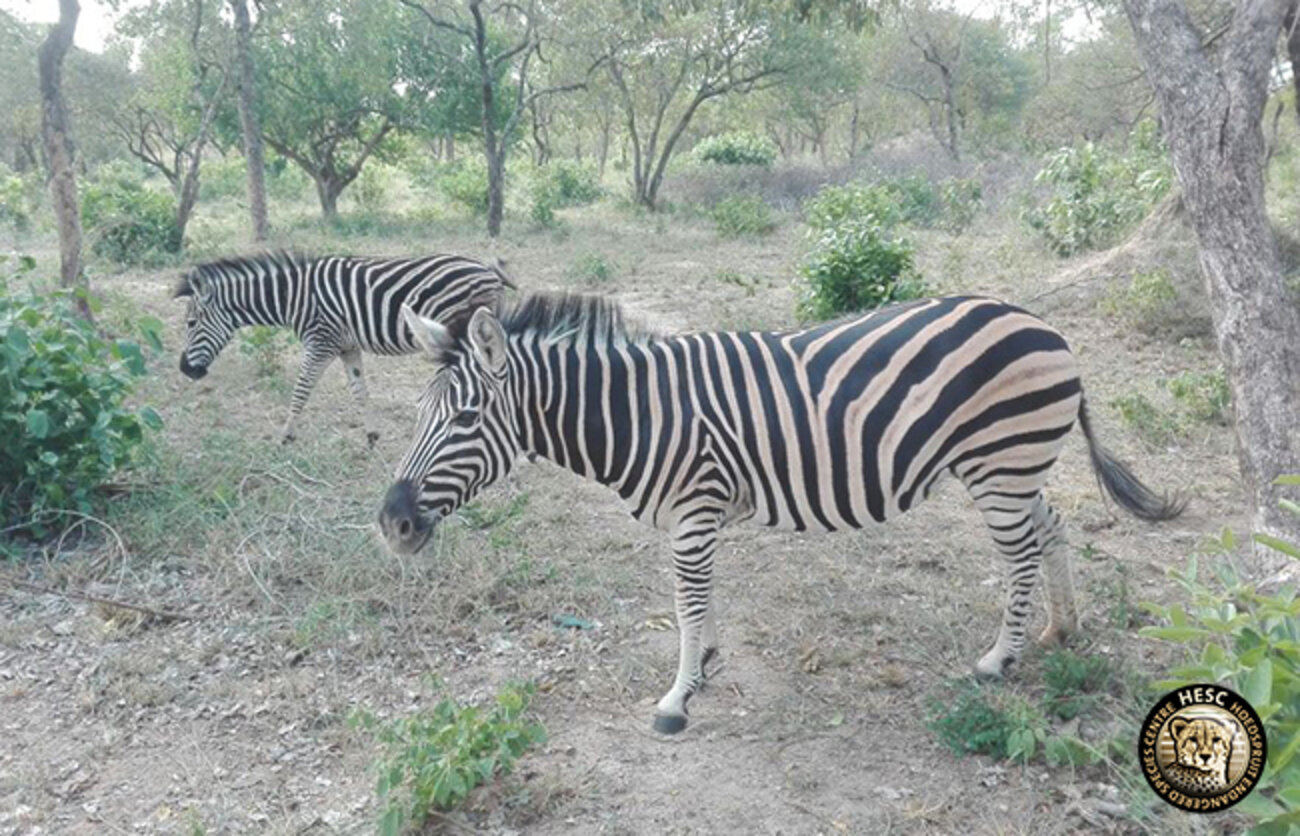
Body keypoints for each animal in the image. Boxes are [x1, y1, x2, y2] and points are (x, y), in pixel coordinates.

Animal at [174, 251, 513, 445]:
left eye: (190, 323)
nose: (185, 370)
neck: (292, 296)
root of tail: (489, 270)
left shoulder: (320, 342)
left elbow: (301, 390)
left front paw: (285, 435)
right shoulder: (347, 346)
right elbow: (359, 391)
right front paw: (372, 436)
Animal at [377, 293, 1182, 734]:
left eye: (466, 418)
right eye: (417, 414)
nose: (392, 525)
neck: (639, 413)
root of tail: (1038, 320)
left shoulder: (695, 508)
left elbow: (687, 600)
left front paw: (677, 697)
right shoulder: (696, 518)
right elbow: (698, 601)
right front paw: (704, 668)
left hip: (999, 461)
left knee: (1017, 555)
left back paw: (998, 660)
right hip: (1014, 467)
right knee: (1050, 530)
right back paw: (1061, 628)